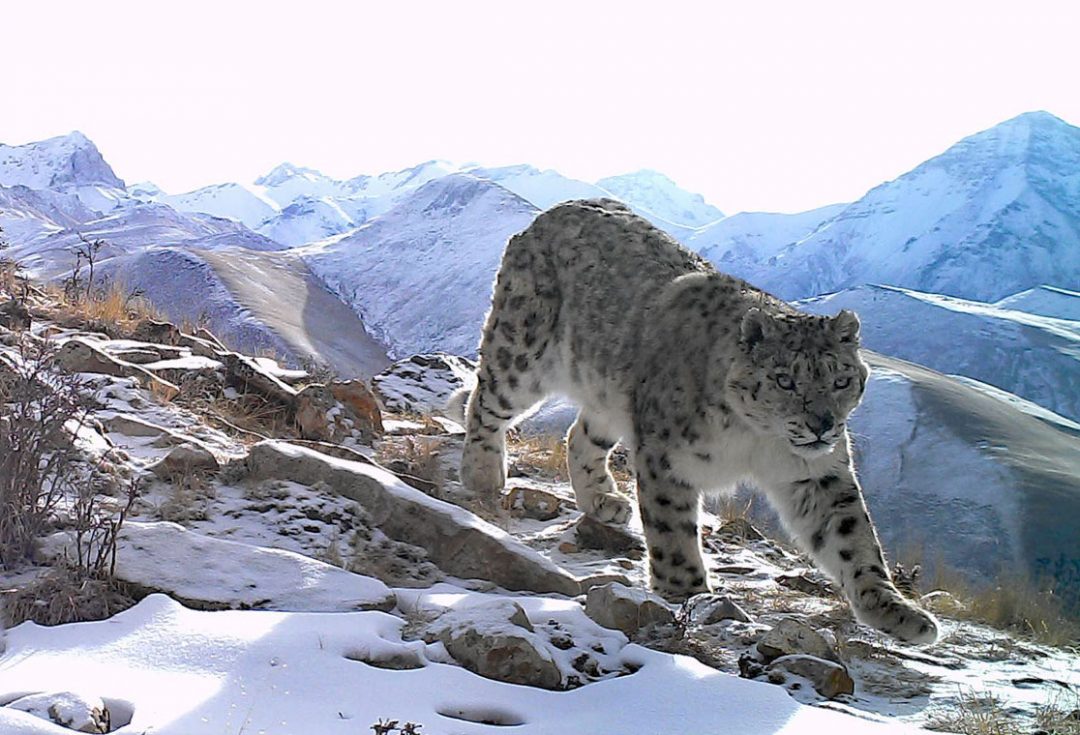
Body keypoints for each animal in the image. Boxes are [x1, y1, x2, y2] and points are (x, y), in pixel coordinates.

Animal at [459, 197, 938, 644]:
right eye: (784, 379)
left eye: (841, 379)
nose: (821, 425)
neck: (756, 438)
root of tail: (555, 210)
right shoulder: (667, 459)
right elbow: (672, 530)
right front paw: (687, 593)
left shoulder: (818, 472)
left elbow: (850, 534)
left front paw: (894, 611)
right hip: (522, 351)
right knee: (485, 402)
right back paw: (481, 474)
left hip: (610, 396)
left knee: (580, 436)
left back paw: (602, 500)